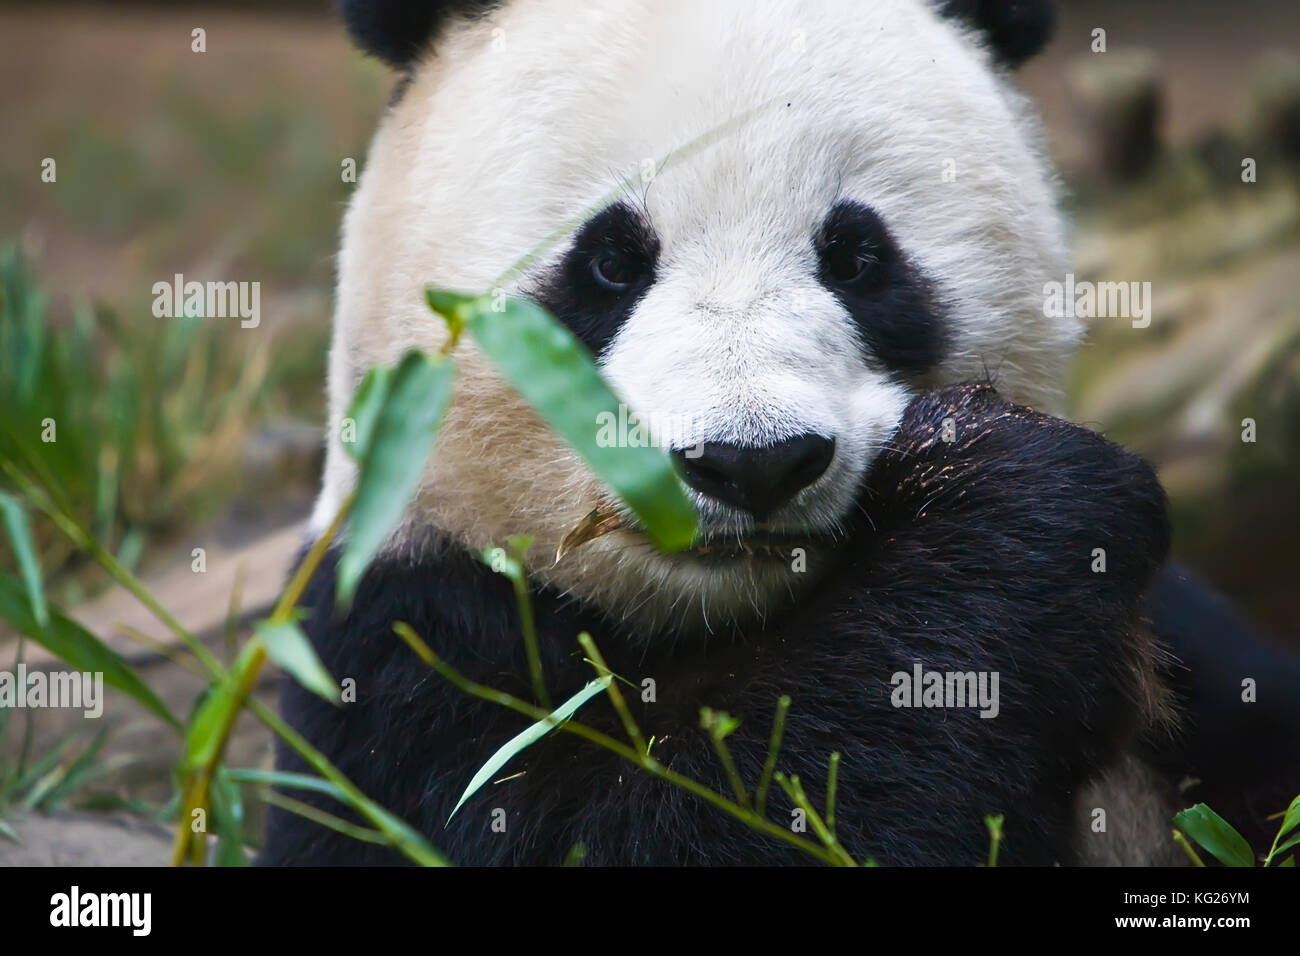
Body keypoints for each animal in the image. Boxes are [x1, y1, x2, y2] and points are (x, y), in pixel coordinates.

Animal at [262, 0, 1300, 865]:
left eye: (858, 257)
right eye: (609, 263)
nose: (751, 463)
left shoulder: (1195, 665)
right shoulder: (399, 649)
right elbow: (634, 824)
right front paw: (1007, 498)